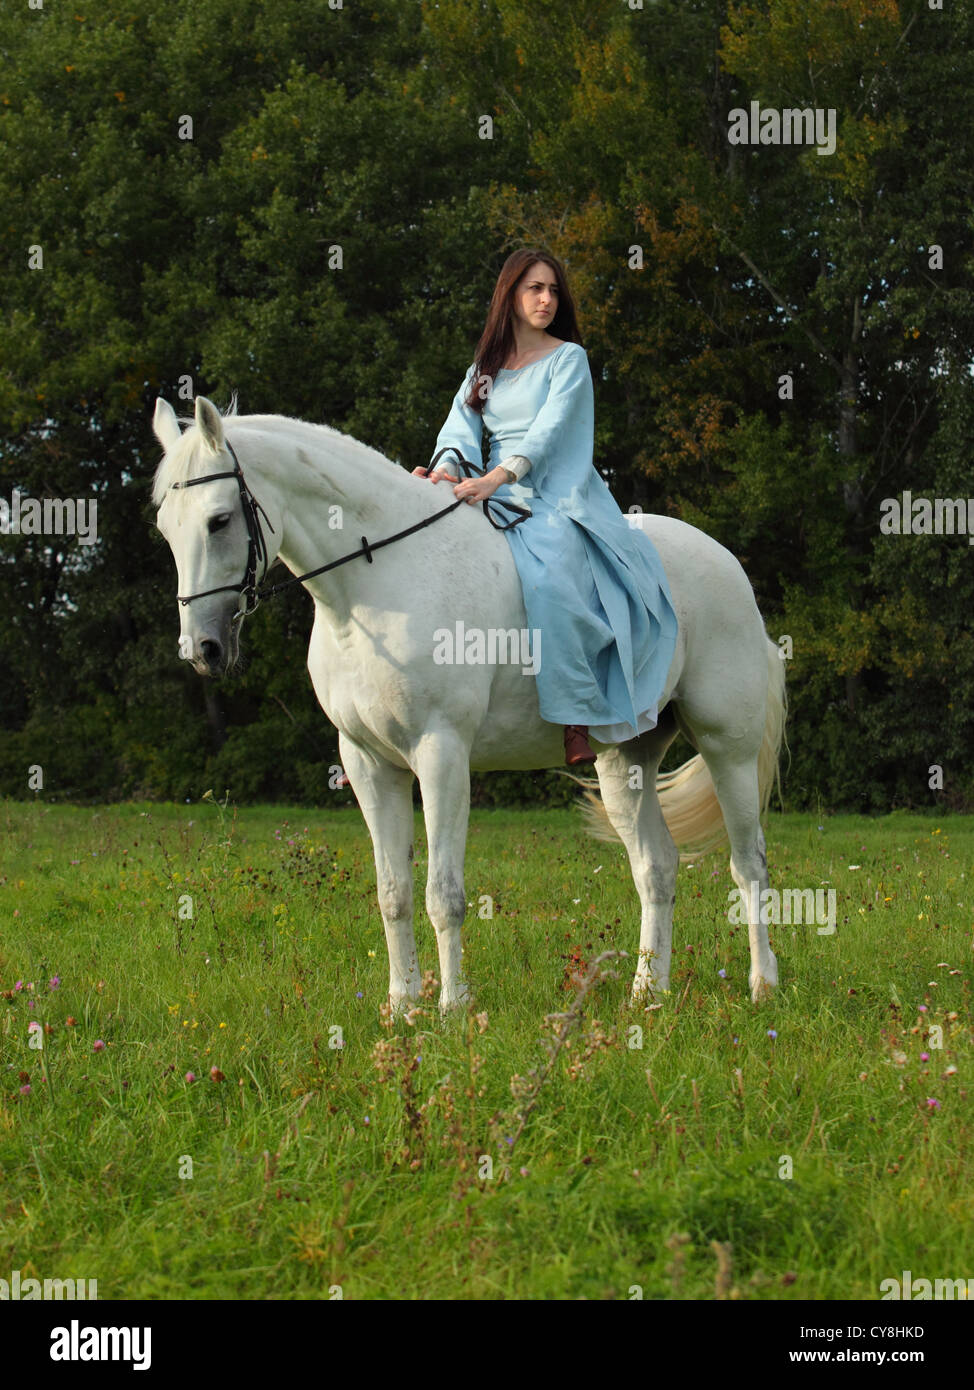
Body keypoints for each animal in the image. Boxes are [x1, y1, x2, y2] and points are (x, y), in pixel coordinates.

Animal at [152, 395, 786, 1011]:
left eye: (219, 520)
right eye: (165, 527)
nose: (202, 648)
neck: (378, 584)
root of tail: (729, 566)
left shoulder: (442, 754)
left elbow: (444, 895)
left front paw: (453, 1008)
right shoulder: (367, 762)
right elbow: (393, 893)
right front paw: (402, 1006)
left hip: (727, 747)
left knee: (749, 863)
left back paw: (762, 986)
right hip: (624, 761)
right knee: (656, 868)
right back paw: (646, 995)